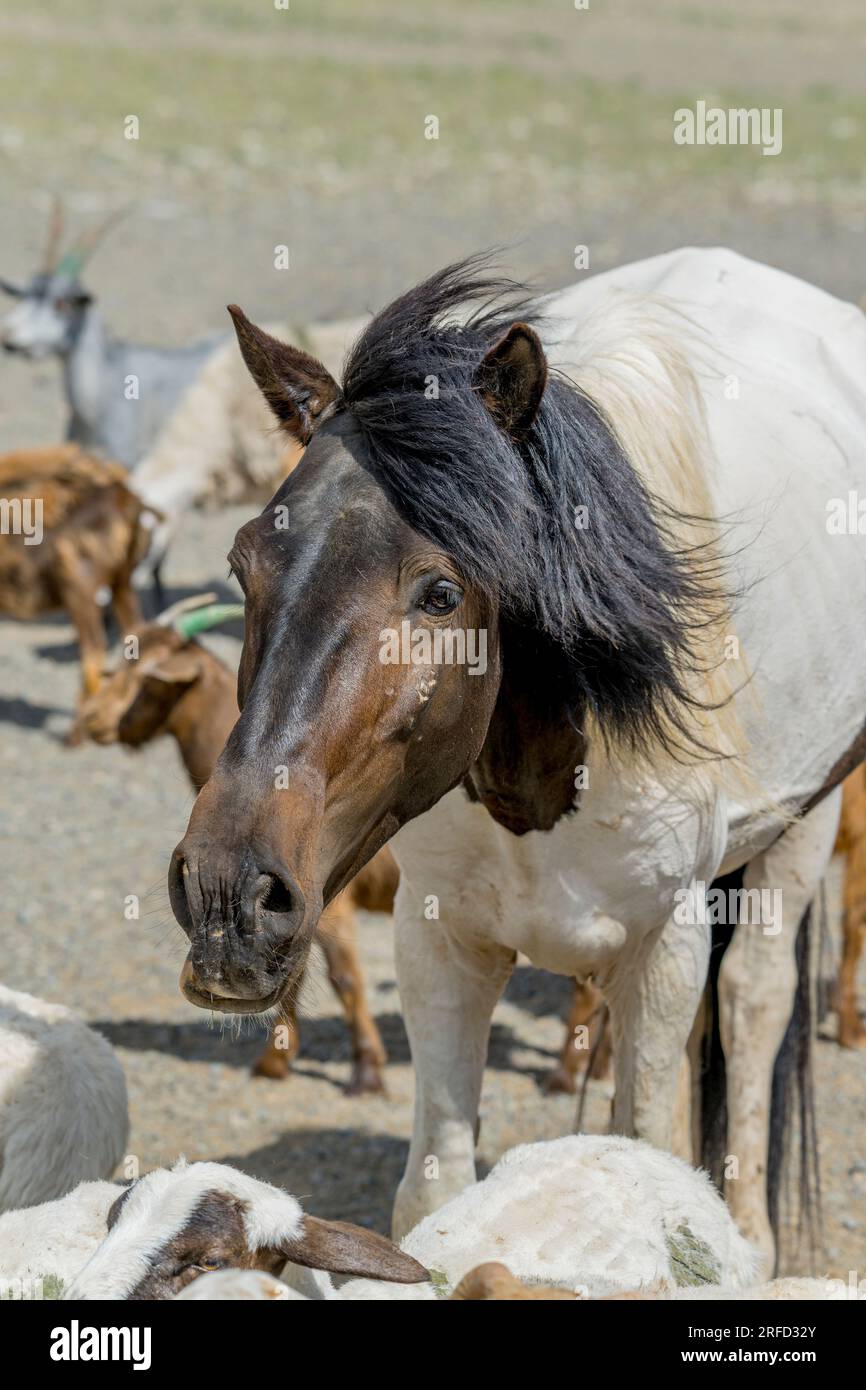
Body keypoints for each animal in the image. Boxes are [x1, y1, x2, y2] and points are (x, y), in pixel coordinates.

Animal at [167, 248, 866, 1273]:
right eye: (241, 566)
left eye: (440, 592)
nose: (226, 890)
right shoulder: (439, 937)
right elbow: (432, 1197)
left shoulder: (667, 943)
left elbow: (652, 1152)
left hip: (803, 830)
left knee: (752, 1005)